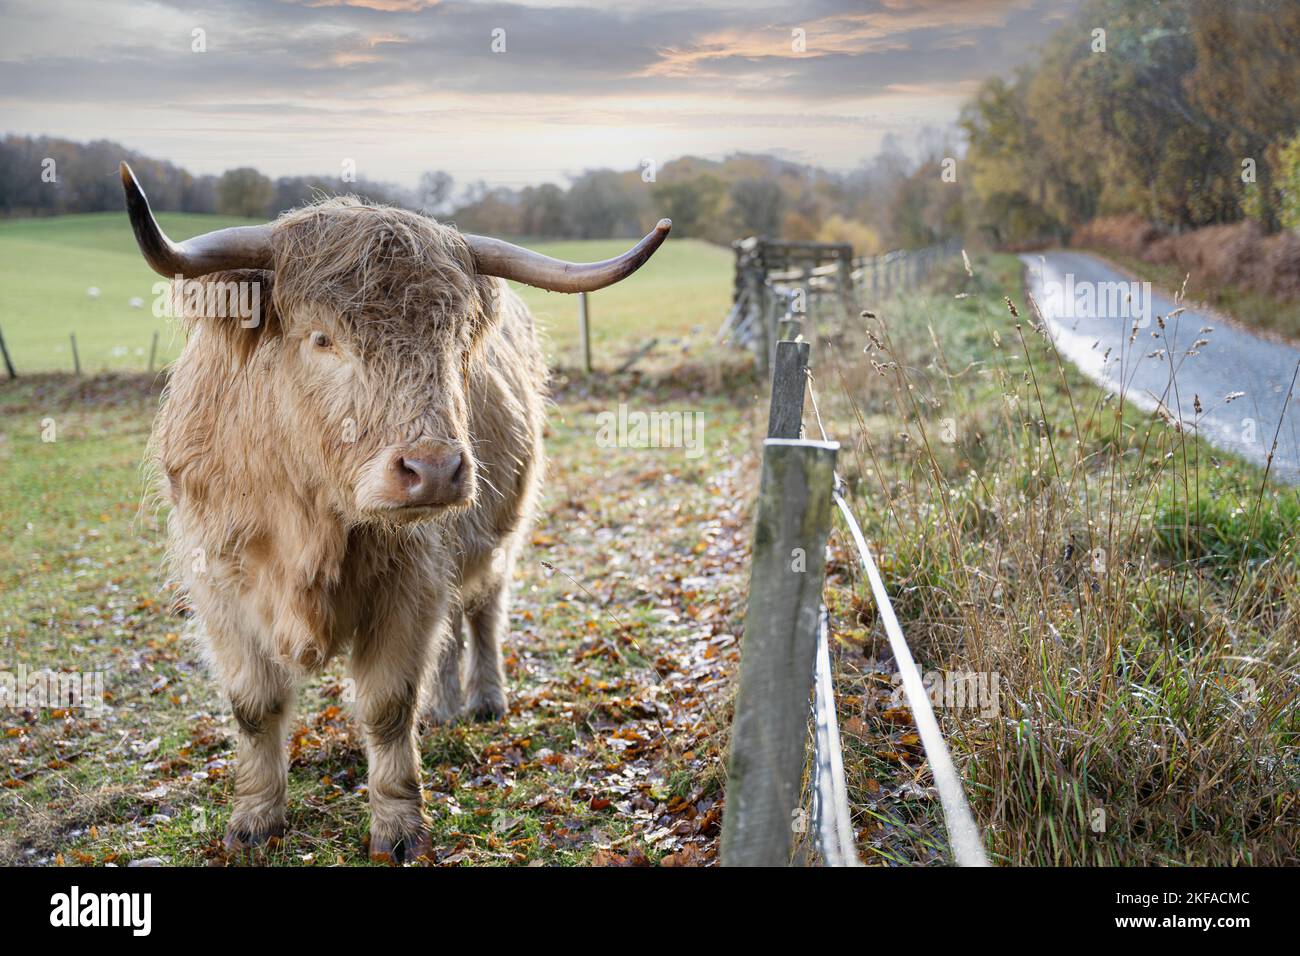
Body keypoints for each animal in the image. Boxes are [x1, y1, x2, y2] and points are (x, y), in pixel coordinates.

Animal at [119, 163, 669, 862]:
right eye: (322, 338)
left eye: (454, 340)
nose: (433, 469)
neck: (309, 515)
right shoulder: (219, 584)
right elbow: (253, 706)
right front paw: (255, 819)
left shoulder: (410, 581)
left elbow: (387, 706)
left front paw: (398, 827)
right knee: (454, 627)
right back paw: (446, 705)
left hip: (494, 539)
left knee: (482, 612)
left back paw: (483, 698)